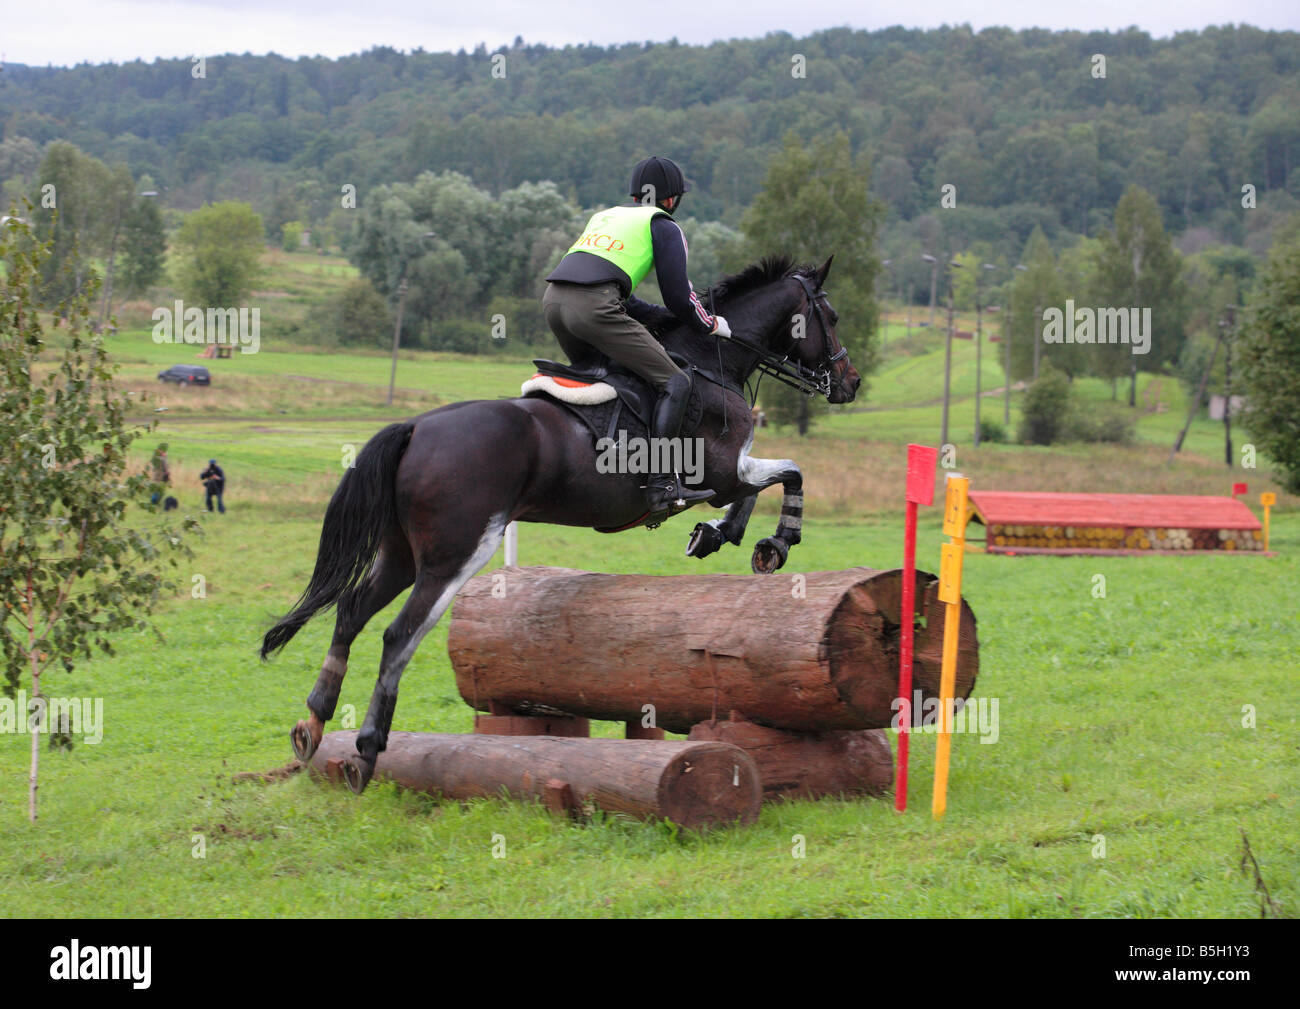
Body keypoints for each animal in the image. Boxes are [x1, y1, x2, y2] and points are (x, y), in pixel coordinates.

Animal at [261, 254, 860, 792]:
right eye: (829, 315)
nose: (850, 382)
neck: (713, 362)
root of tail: (415, 428)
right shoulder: (724, 471)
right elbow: (788, 474)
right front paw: (772, 542)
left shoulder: (730, 474)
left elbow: (770, 482)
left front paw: (717, 537)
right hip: (457, 554)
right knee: (398, 634)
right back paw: (366, 749)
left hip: (403, 554)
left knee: (350, 613)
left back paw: (313, 724)